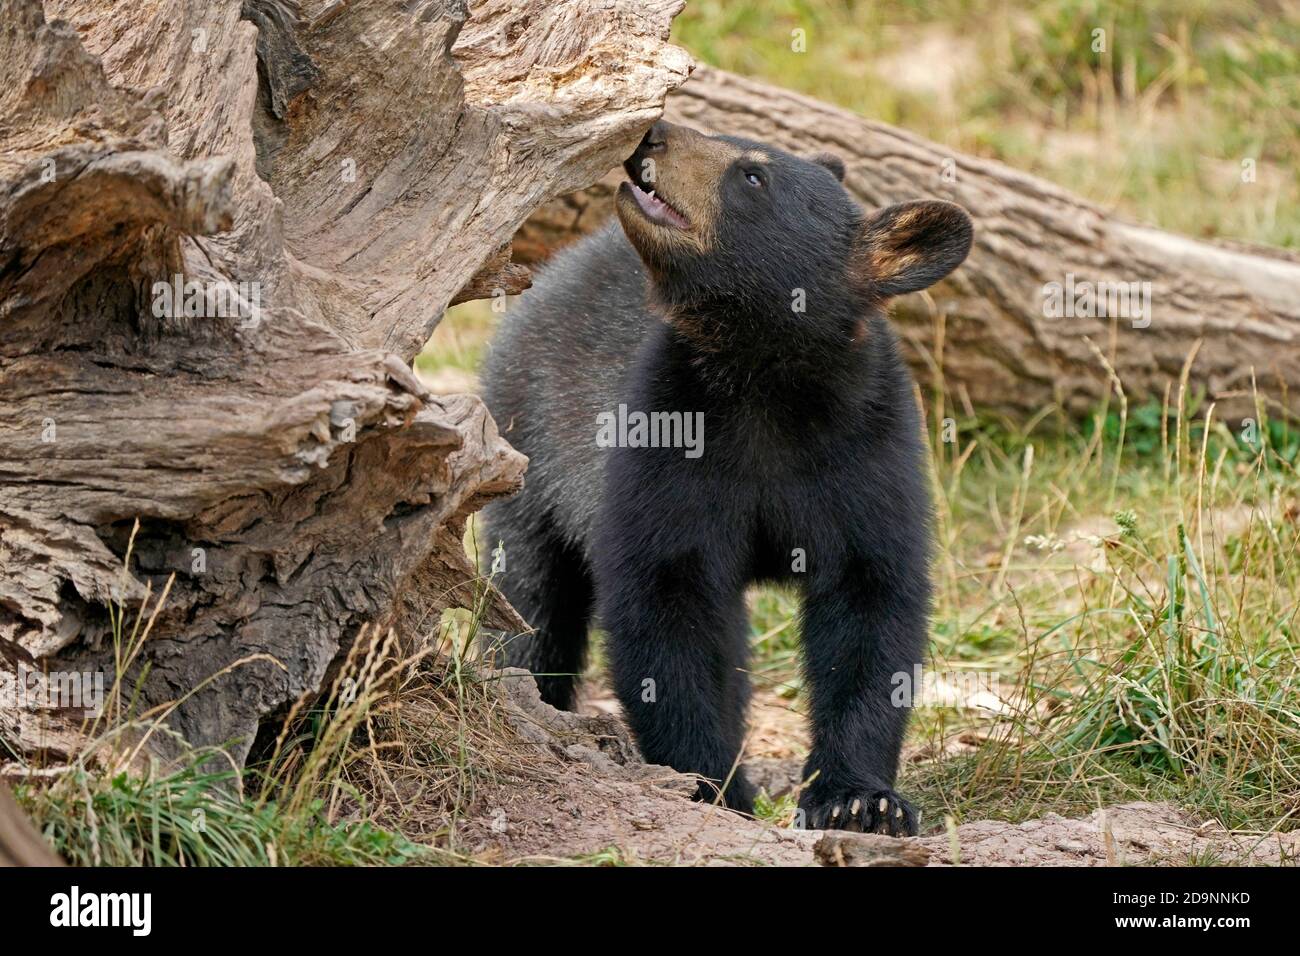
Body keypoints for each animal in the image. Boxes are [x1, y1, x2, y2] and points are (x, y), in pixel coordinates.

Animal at [480, 120, 972, 835]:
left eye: (753, 176)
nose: (651, 135)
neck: (760, 376)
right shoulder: (664, 437)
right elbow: (665, 606)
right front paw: (711, 785)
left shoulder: (867, 449)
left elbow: (872, 604)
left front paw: (861, 800)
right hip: (528, 452)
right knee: (530, 603)